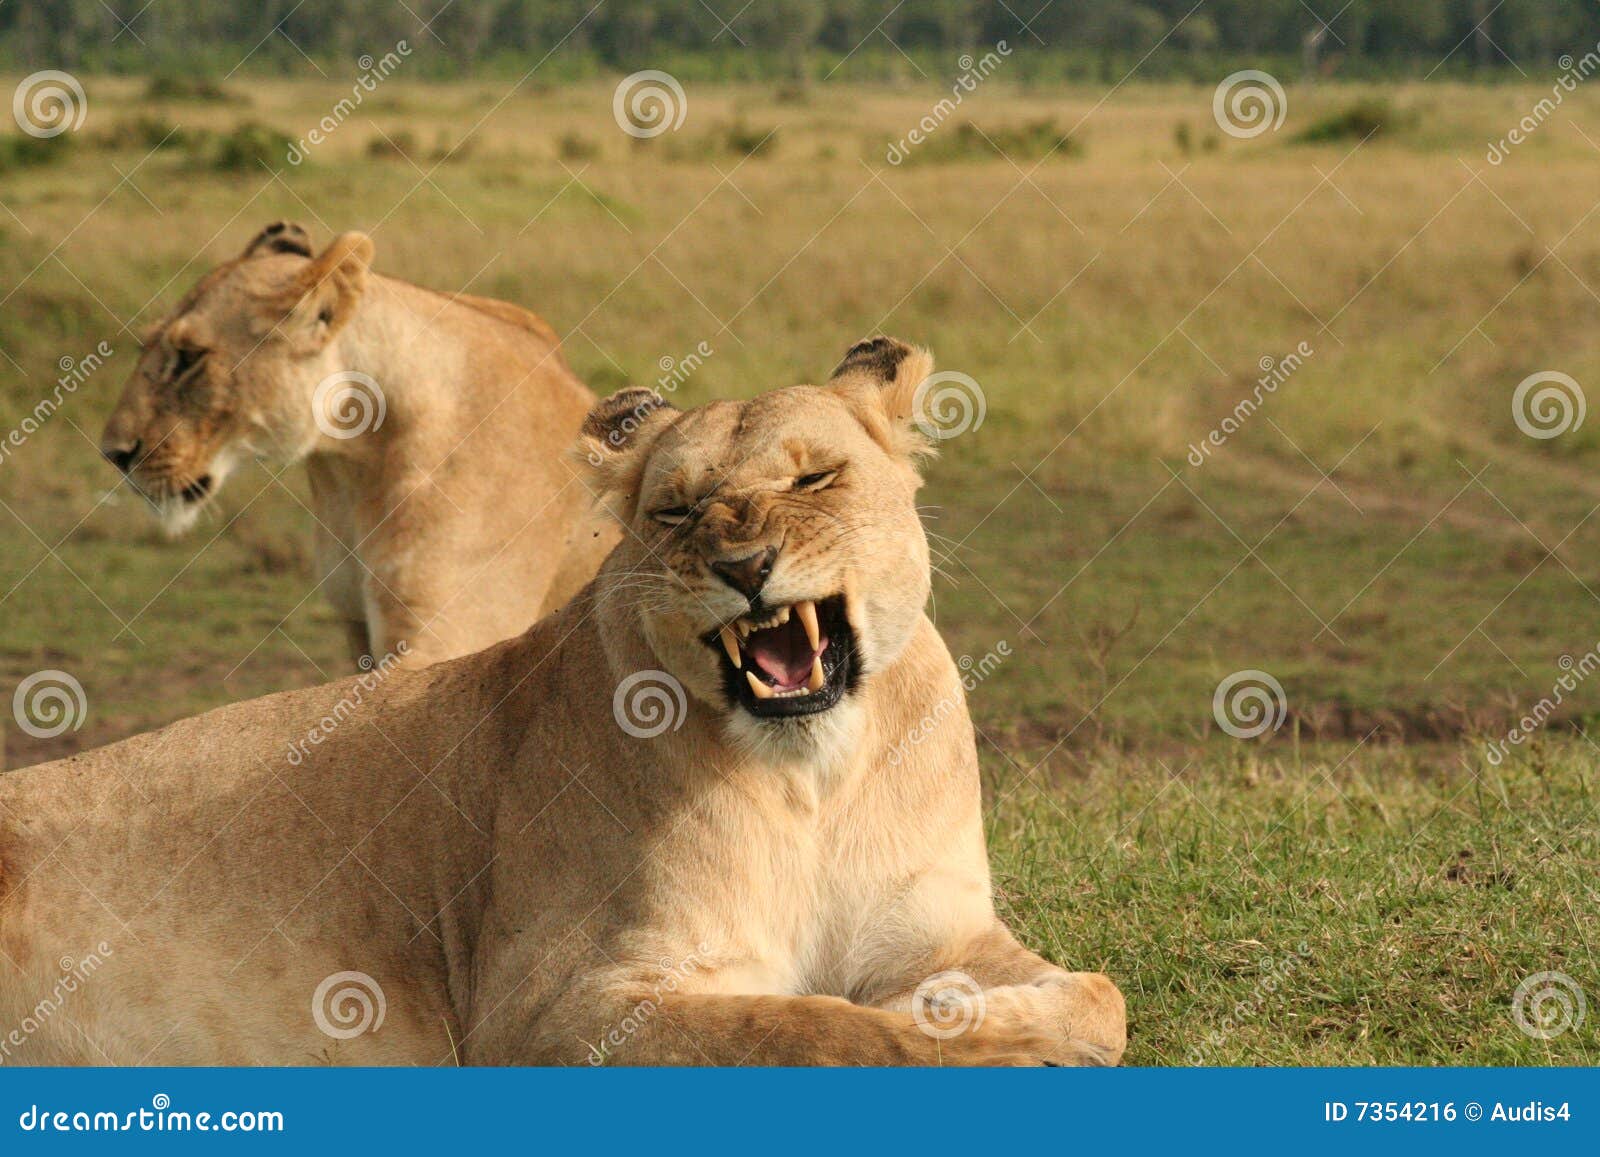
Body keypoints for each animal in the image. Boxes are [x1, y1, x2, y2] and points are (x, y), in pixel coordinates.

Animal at [0, 337, 1125, 1066]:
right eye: (674, 508)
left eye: (815, 479)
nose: (743, 566)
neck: (815, 777)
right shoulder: (541, 1010)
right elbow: (812, 1026)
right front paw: (982, 1039)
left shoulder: (935, 925)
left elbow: (1100, 996)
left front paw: (1024, 1012)